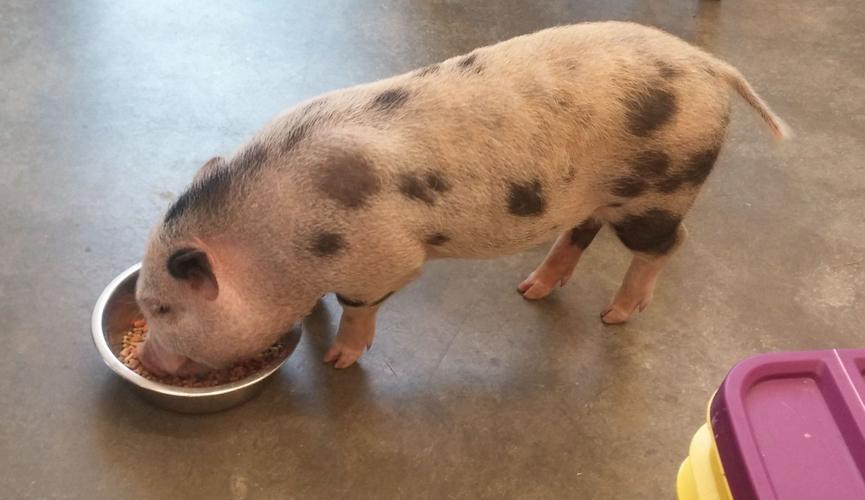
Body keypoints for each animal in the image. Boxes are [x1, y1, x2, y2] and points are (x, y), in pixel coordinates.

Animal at [135, 21, 789, 374]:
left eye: (163, 309)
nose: (147, 361)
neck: (281, 246)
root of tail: (710, 66)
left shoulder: (385, 260)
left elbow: (359, 308)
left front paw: (337, 362)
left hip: (661, 189)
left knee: (669, 243)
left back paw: (616, 315)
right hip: (600, 196)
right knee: (581, 231)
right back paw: (530, 290)